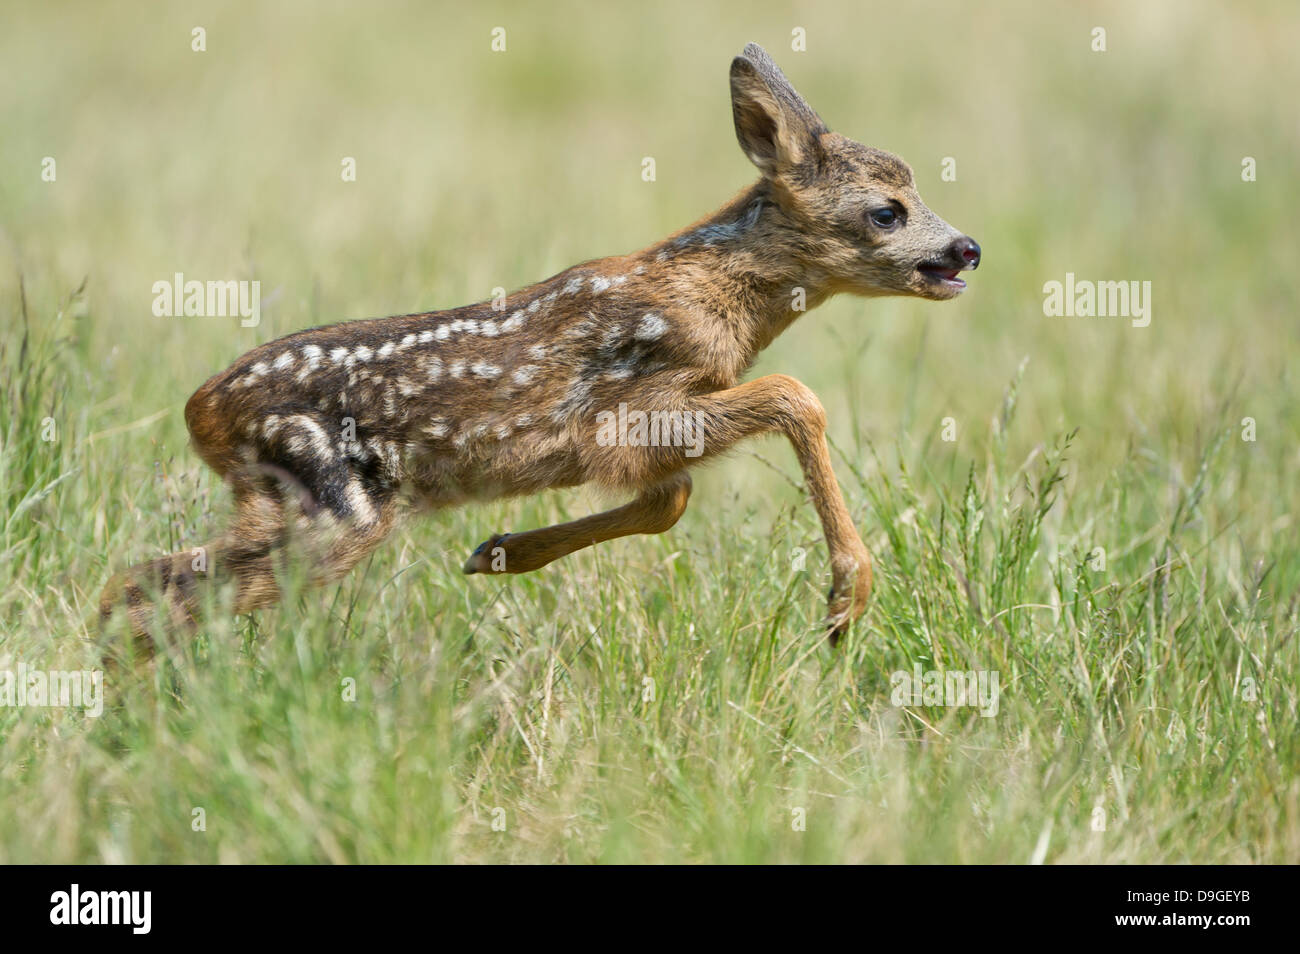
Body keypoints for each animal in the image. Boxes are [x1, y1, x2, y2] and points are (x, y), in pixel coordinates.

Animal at [97, 43, 979, 652]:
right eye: (887, 211)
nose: (966, 249)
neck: (713, 292)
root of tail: (200, 411)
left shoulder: (638, 435)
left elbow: (671, 499)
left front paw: (498, 553)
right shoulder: (628, 411)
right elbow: (795, 396)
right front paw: (845, 602)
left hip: (283, 507)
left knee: (138, 581)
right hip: (330, 507)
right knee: (159, 594)